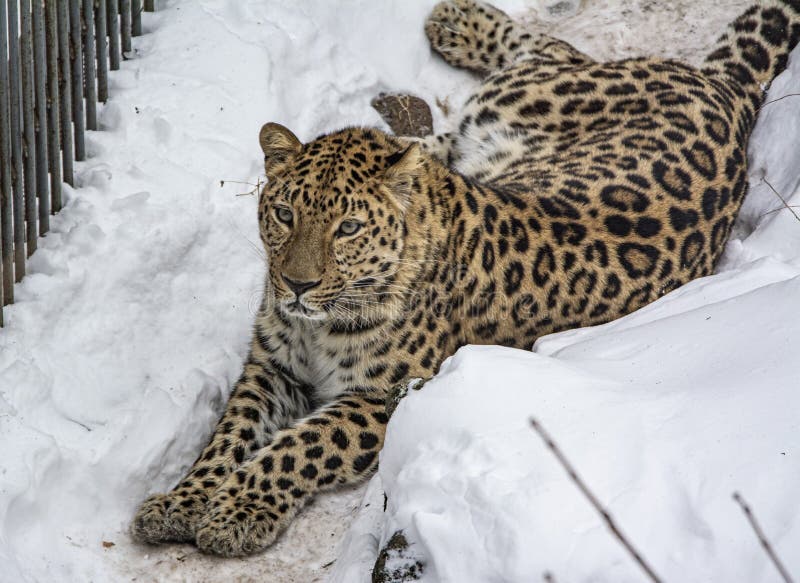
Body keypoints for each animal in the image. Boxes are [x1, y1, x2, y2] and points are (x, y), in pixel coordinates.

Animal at [131, 0, 800, 557]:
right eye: (285, 214)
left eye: (348, 227)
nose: (294, 285)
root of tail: (725, 94)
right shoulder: (271, 365)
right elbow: (228, 434)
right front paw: (182, 501)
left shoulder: (386, 398)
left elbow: (297, 447)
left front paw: (236, 511)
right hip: (481, 128)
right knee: (468, 114)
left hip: (531, 92)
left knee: (558, 50)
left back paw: (454, 21)